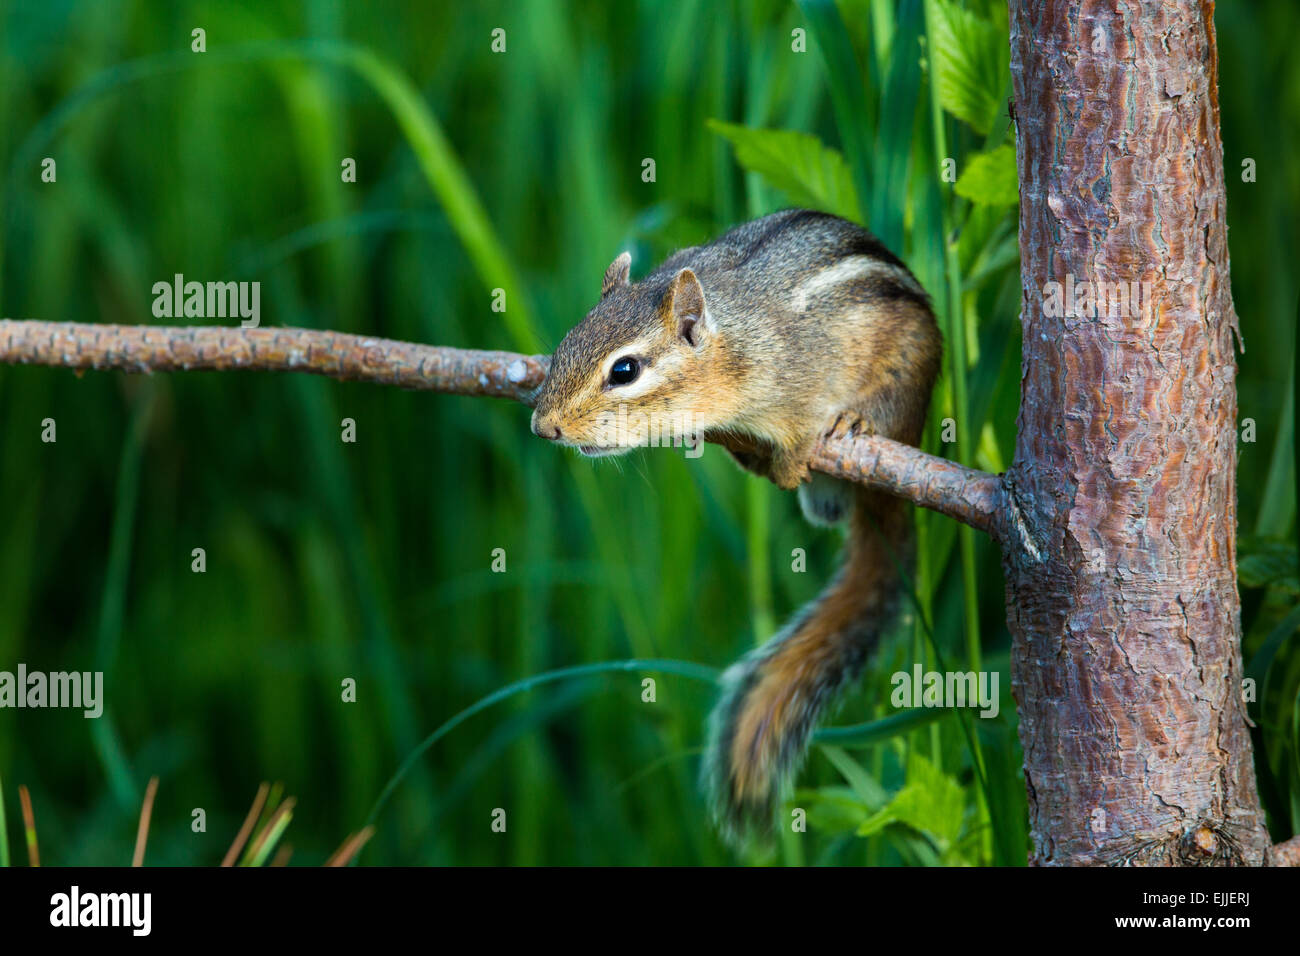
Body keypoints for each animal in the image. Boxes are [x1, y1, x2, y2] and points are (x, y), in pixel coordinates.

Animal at [530, 209, 942, 845]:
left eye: (624, 370)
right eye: (565, 343)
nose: (542, 426)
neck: (732, 347)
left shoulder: (804, 379)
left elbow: (799, 432)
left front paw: (794, 457)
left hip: (907, 379)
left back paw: (857, 422)